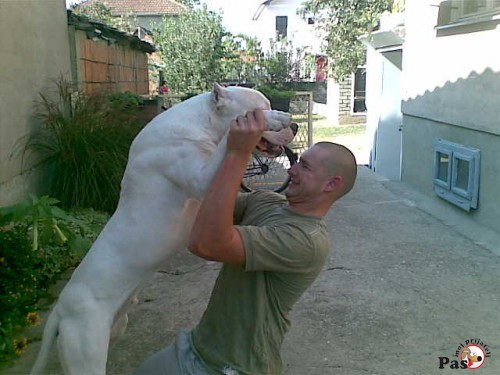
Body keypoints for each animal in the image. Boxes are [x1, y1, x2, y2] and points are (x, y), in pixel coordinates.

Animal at [31, 83, 292, 374]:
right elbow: (231, 137)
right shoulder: (202, 179)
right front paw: (271, 118)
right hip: (86, 346)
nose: (293, 125)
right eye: (260, 107)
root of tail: (60, 310)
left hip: (114, 328)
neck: (201, 121)